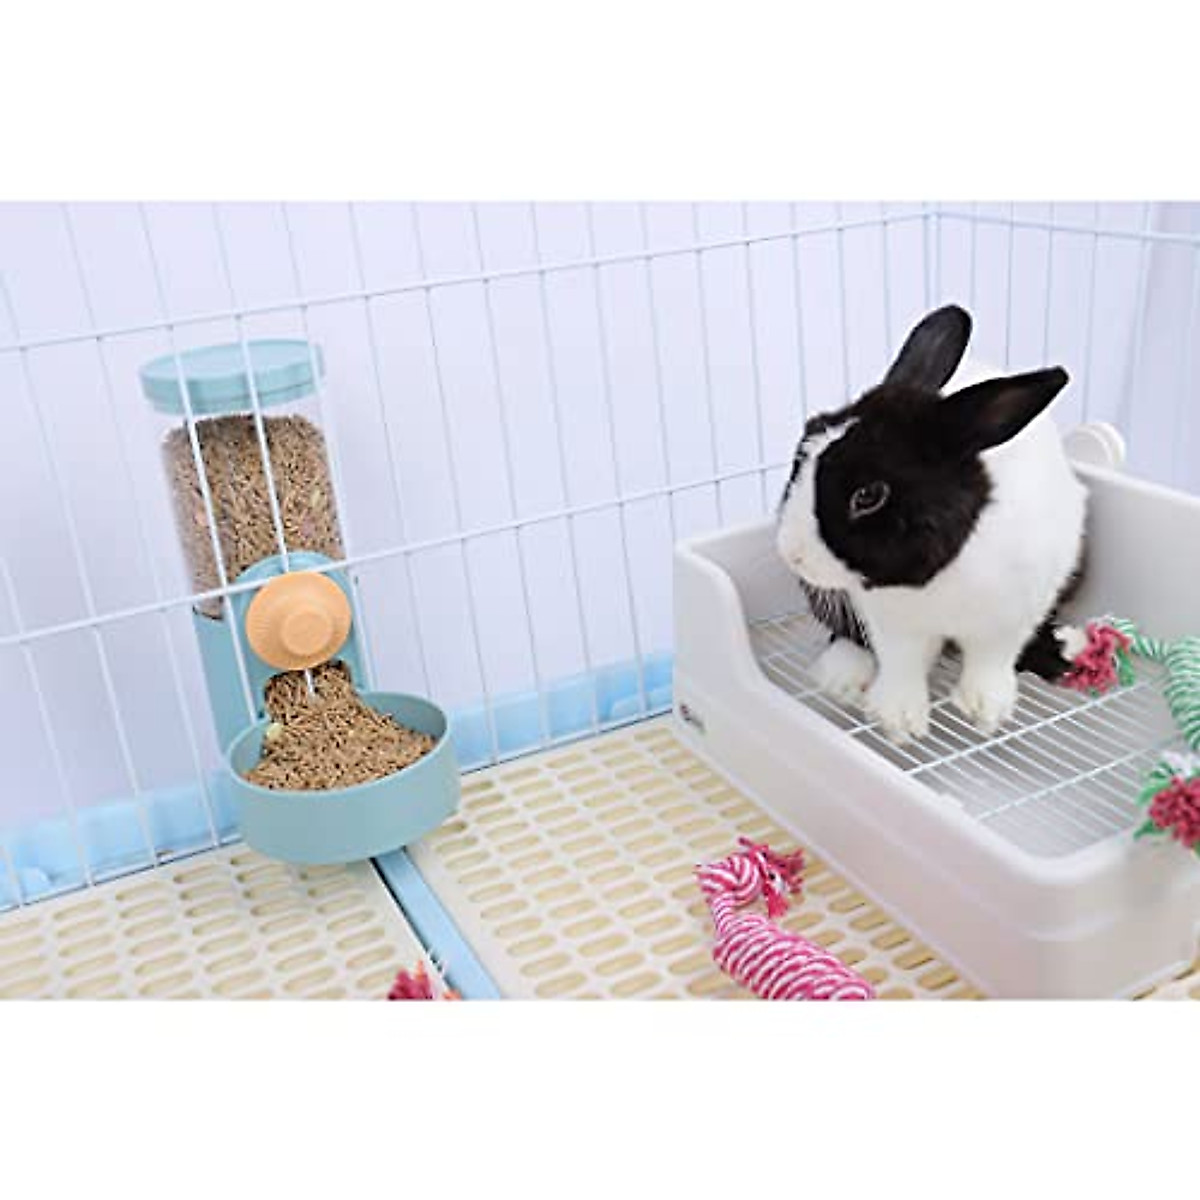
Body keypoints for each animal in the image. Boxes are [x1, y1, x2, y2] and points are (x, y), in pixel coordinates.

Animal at [775, 303, 1088, 745]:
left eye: (868, 495)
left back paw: (1063, 650)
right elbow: (901, 661)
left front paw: (986, 710)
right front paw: (900, 721)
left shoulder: (1016, 610)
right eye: (803, 448)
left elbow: (993, 657)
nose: (792, 554)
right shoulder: (891, 621)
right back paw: (842, 676)